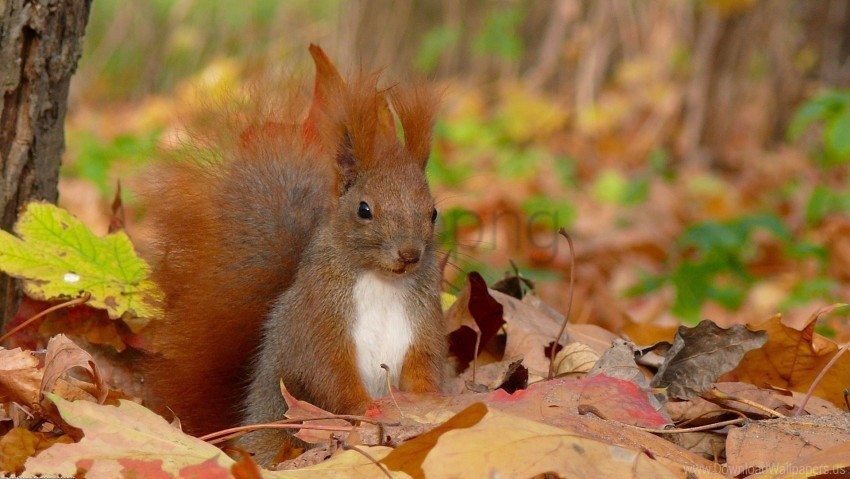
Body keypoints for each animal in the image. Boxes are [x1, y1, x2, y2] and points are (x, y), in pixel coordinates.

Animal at [140, 45, 446, 465]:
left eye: (433, 212)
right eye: (364, 209)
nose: (409, 254)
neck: (382, 280)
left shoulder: (423, 323)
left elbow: (424, 368)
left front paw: (429, 404)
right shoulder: (318, 322)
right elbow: (330, 375)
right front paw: (367, 410)